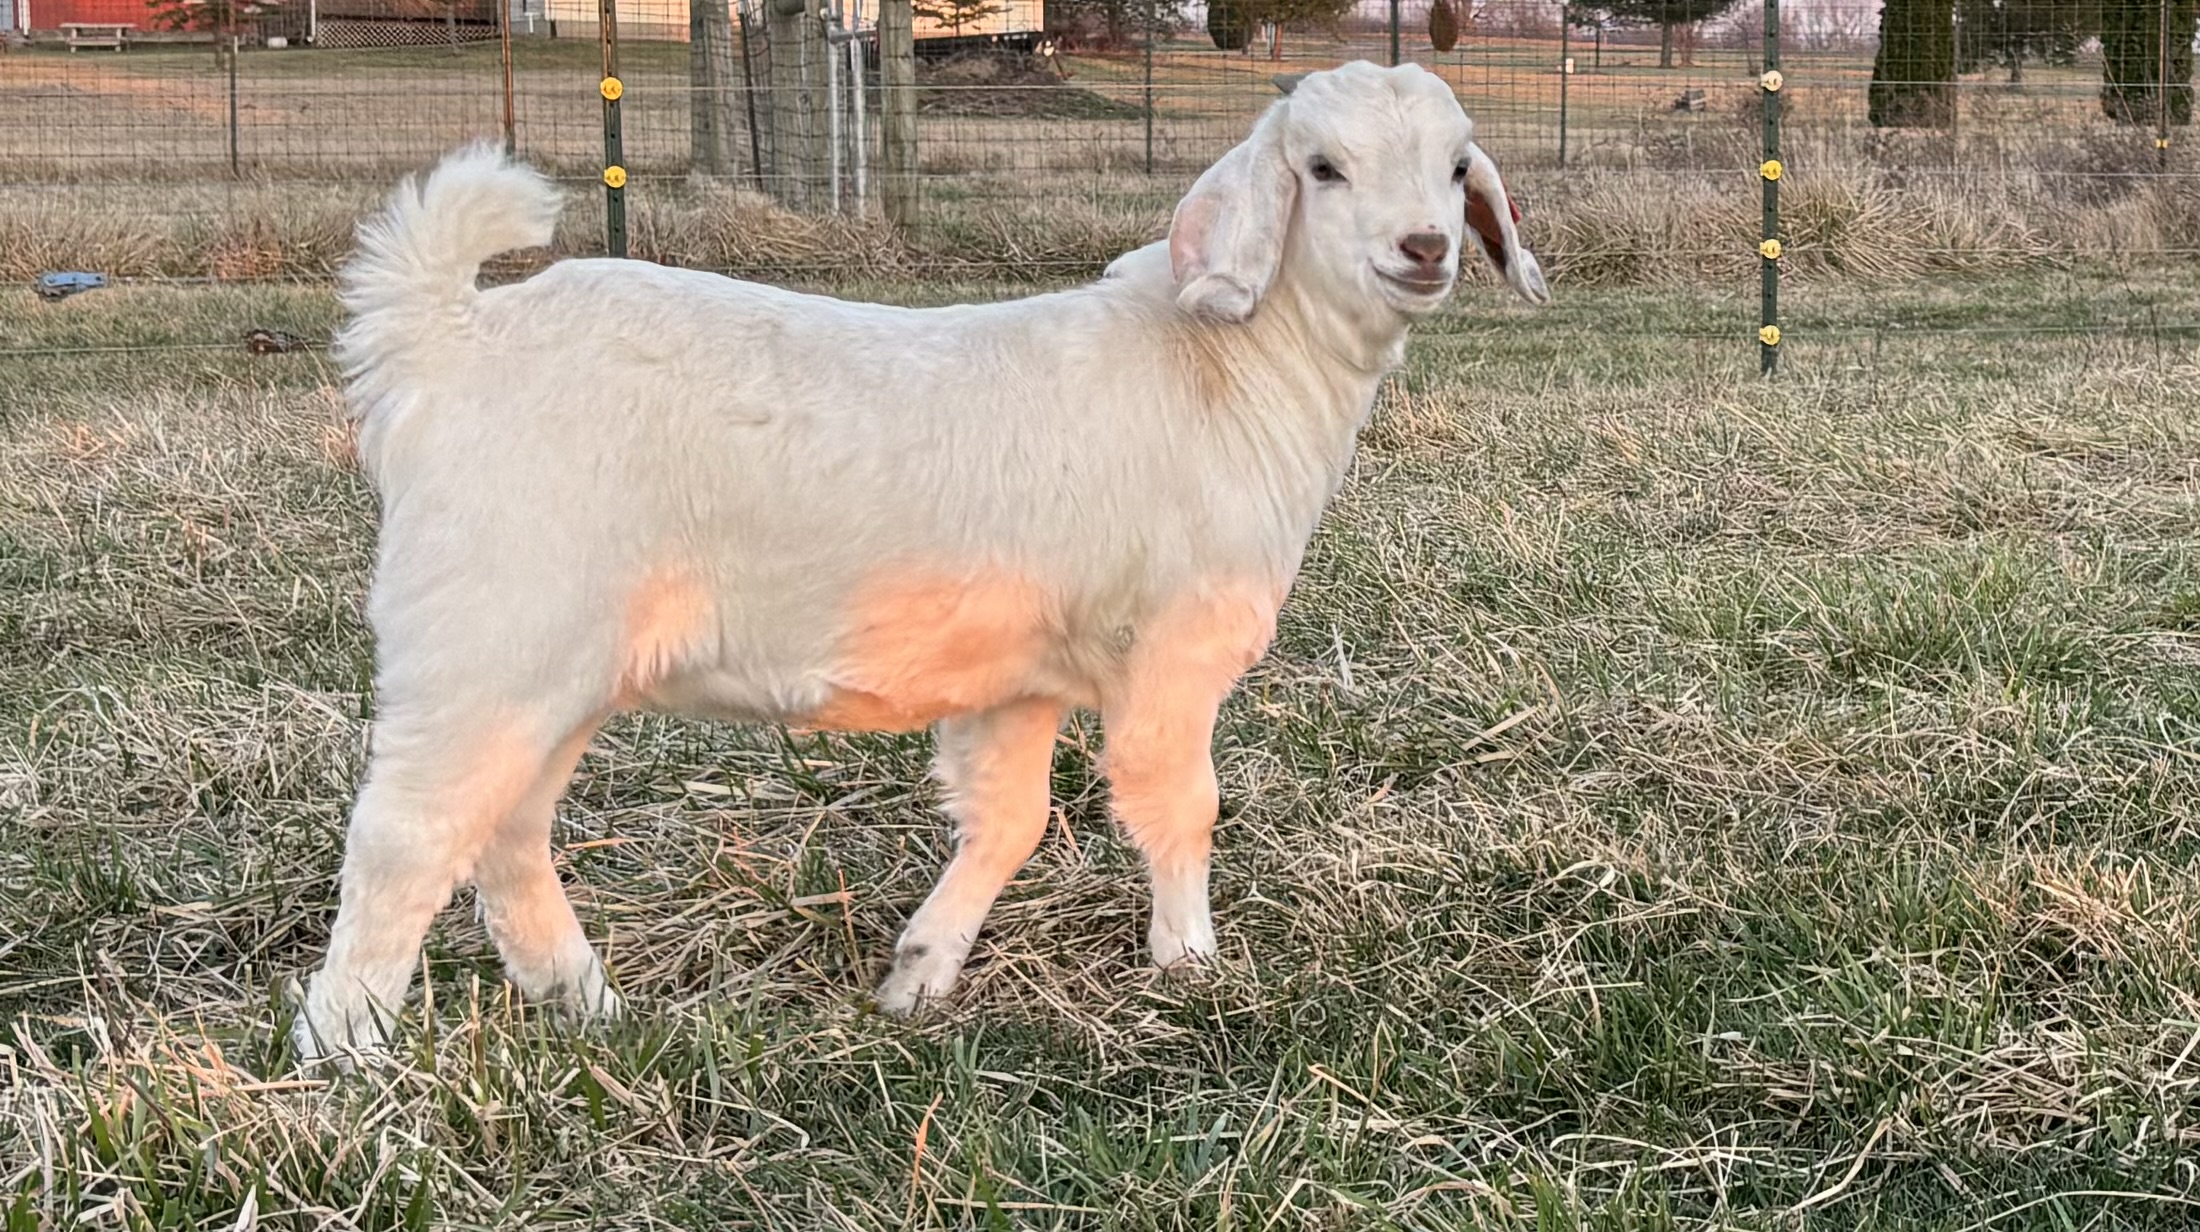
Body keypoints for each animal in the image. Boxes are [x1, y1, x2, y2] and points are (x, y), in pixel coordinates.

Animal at [295, 59, 1547, 1062]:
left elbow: (1007, 819)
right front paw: (1189, 961)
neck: (1224, 369)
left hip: (557, 662)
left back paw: (585, 1002)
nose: (1424, 248)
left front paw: (919, 971)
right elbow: (1178, 801)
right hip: (489, 629)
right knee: (408, 836)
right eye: (1323, 168)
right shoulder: (1177, 647)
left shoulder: (1020, 673)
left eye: (1454, 168)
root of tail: (445, 342)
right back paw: (347, 1052)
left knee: (505, 832)